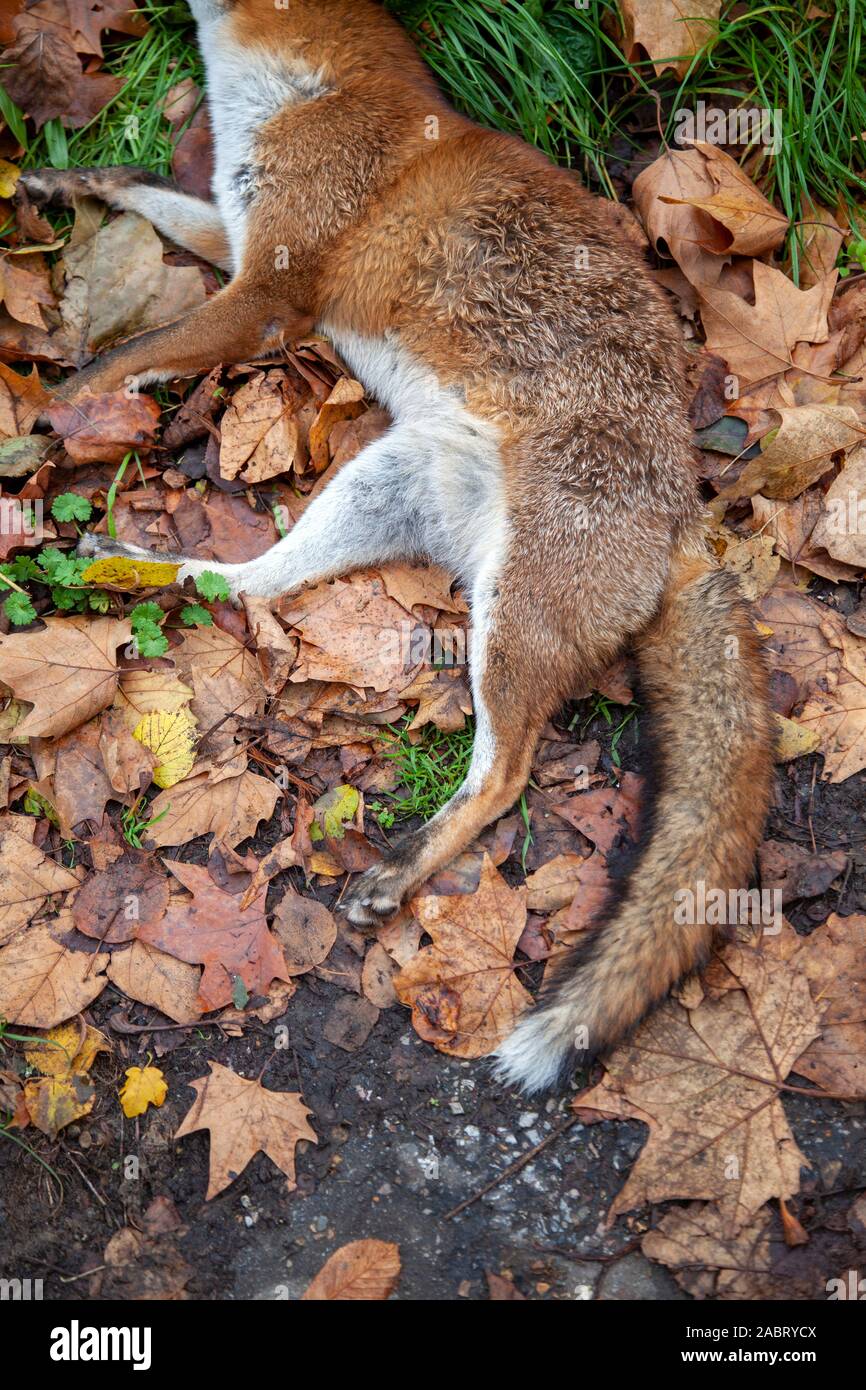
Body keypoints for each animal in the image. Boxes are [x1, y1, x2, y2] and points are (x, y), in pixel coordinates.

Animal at [21, 0, 772, 1093]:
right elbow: (150, 198)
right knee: (255, 583)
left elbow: (104, 369)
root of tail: (687, 508)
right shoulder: (236, 231)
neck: (290, 92)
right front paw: (63, 180)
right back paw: (149, 572)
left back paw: (399, 872)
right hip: (384, 480)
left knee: (502, 776)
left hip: (511, 612)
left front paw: (29, 425)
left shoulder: (269, 293)